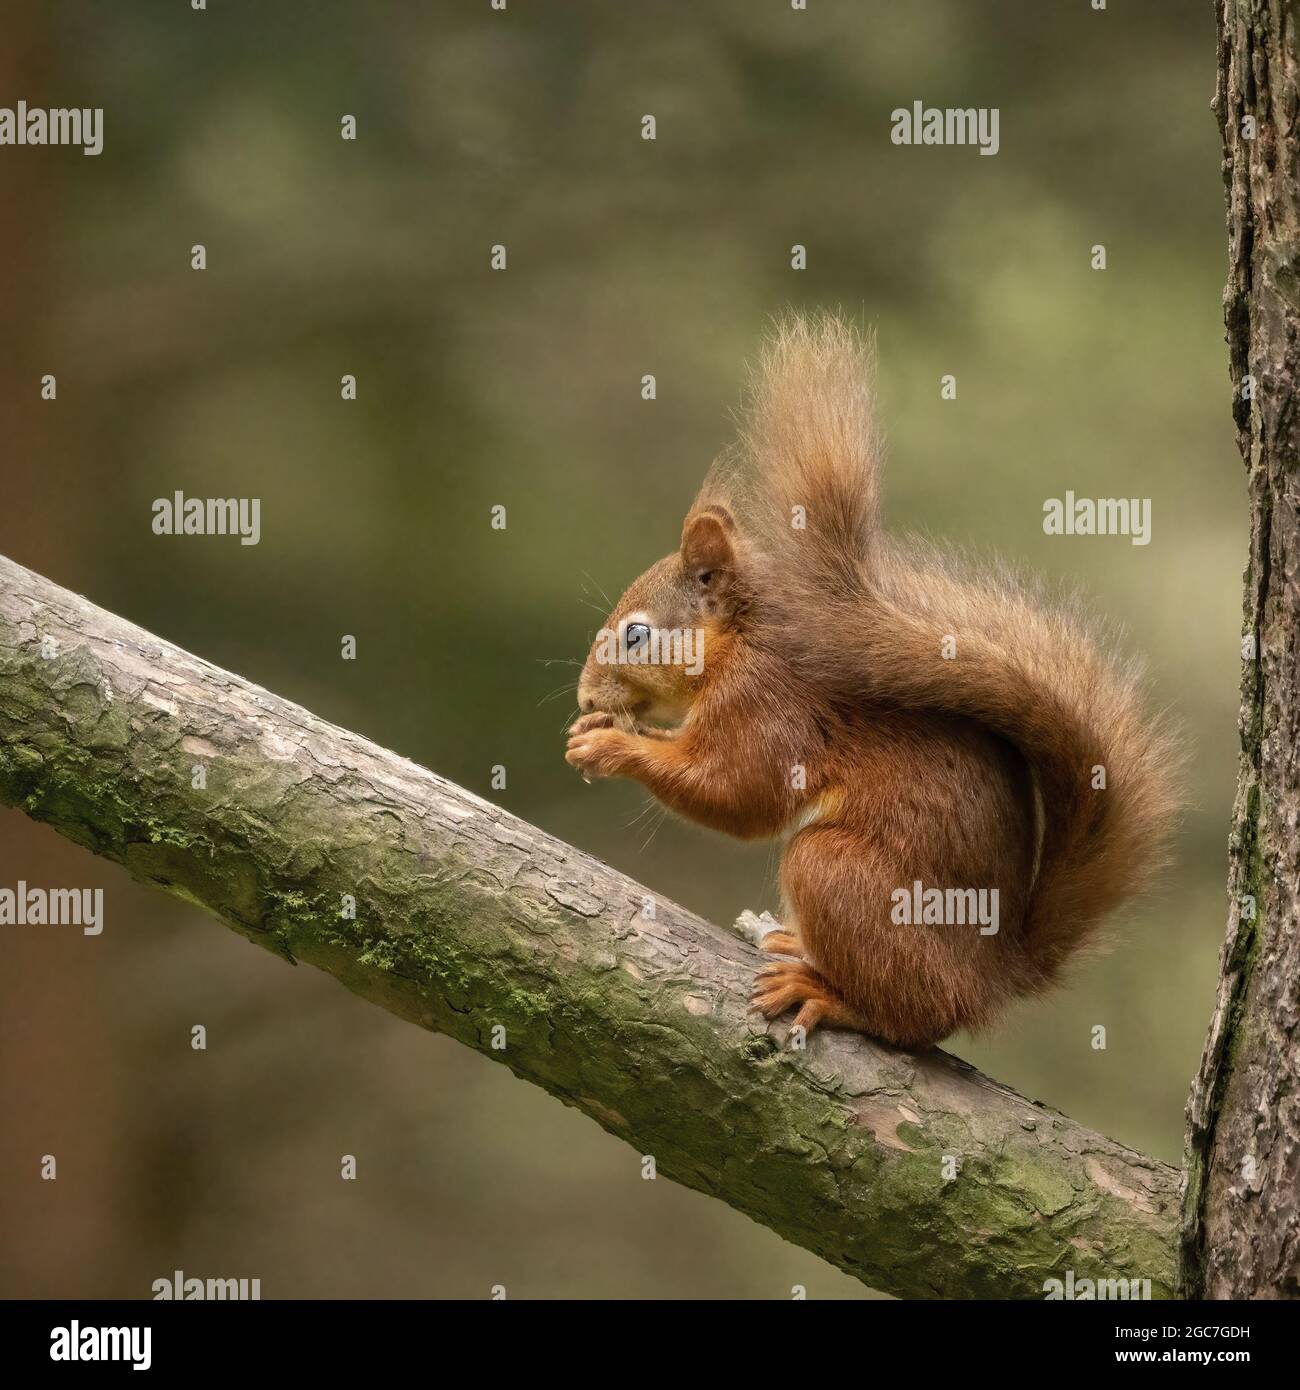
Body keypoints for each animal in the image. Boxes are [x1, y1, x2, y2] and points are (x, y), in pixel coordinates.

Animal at [565, 314, 1180, 1049]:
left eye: (636, 635)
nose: (585, 696)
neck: (742, 640)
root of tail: (992, 978)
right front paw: (594, 728)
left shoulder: (769, 705)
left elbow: (735, 792)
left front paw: (612, 744)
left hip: (839, 874)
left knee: (914, 1015)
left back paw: (825, 992)